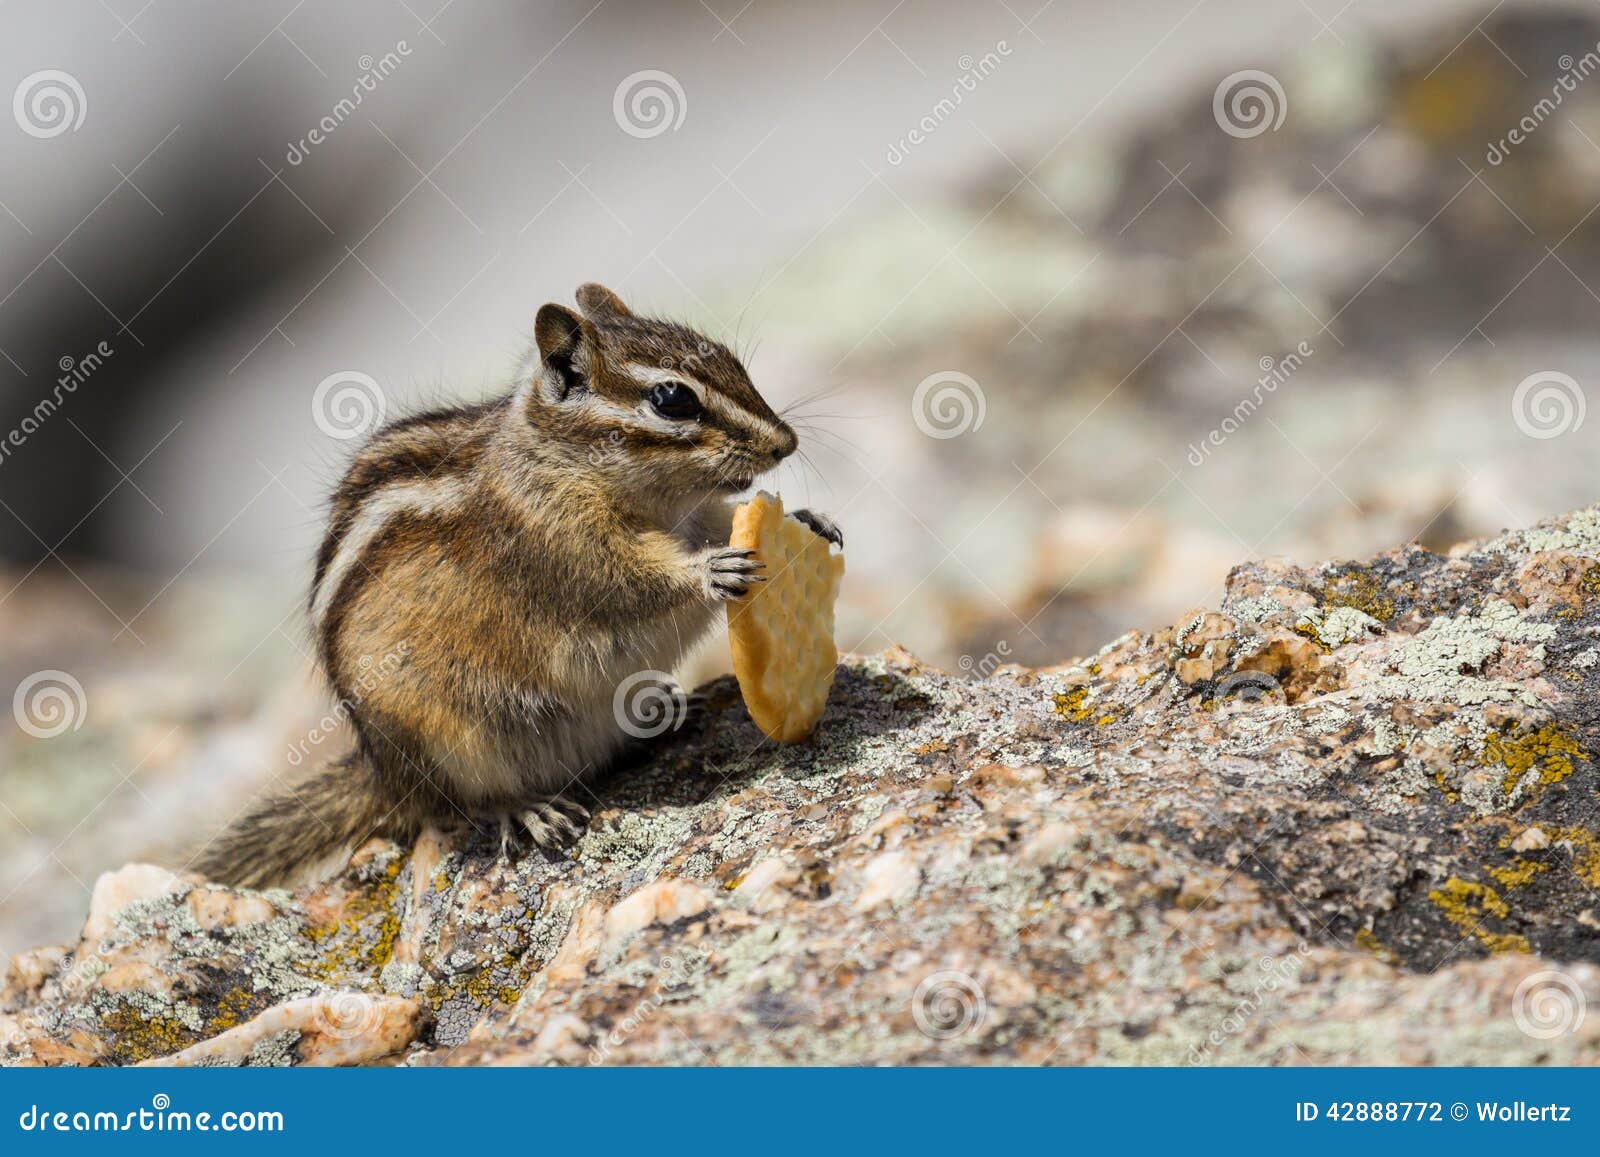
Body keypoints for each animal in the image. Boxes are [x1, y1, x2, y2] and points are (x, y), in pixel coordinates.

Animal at [193, 283, 841, 888]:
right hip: (451, 739)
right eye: (672, 399)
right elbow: (628, 580)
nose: (786, 442)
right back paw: (527, 809)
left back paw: (674, 708)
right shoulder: (558, 540)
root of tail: (385, 776)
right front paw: (710, 570)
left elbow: (722, 519)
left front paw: (807, 519)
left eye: (731, 359)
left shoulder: (697, 515)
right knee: (458, 806)